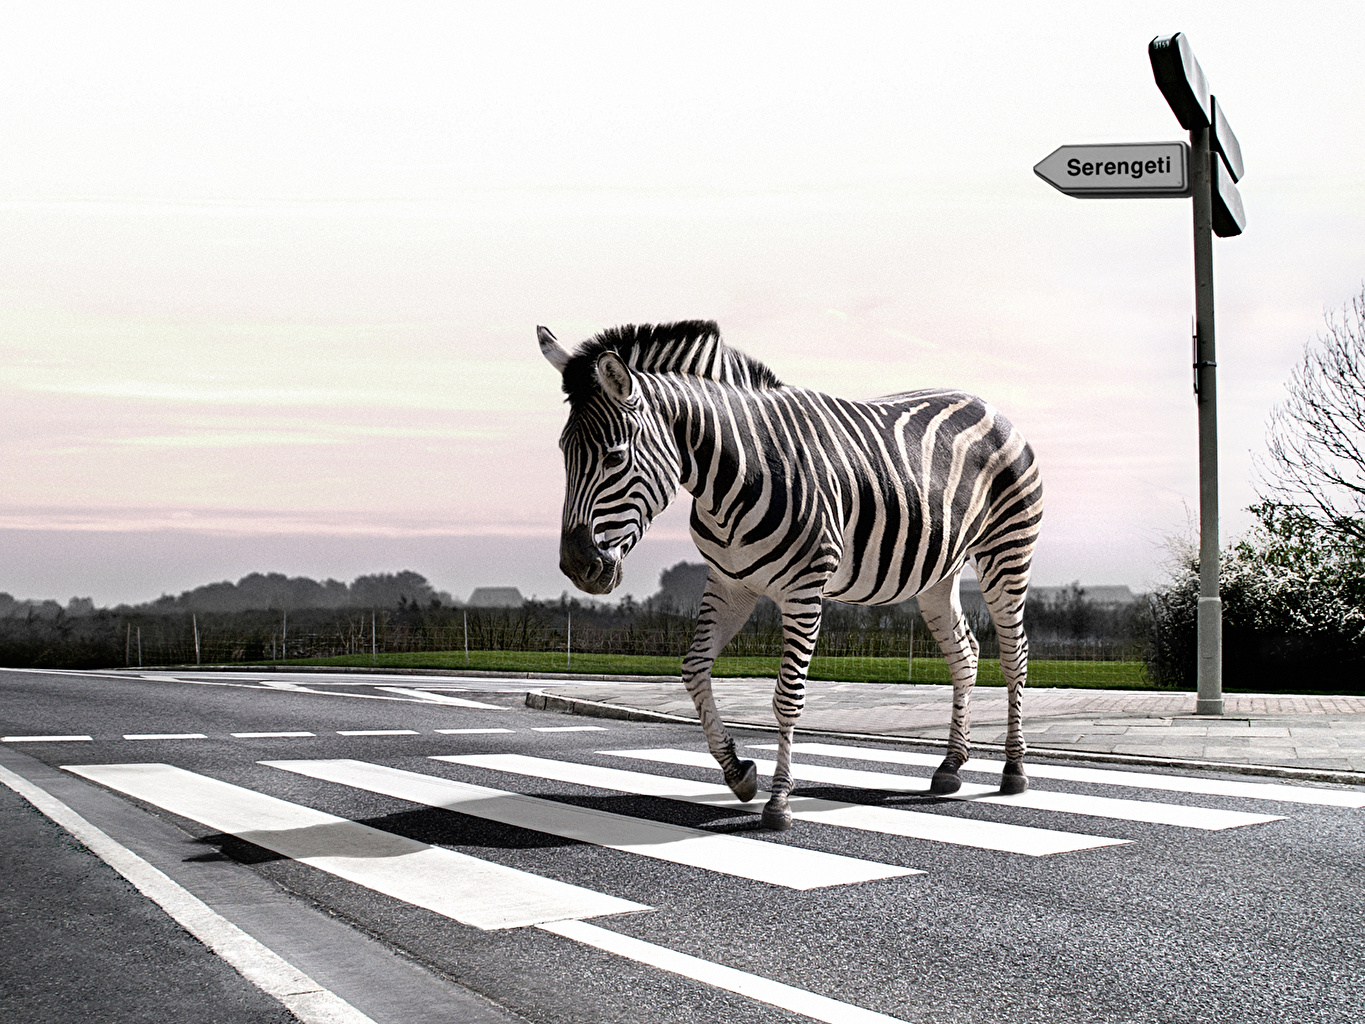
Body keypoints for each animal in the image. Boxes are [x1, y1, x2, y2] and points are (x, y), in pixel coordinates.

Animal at [538, 320, 1042, 830]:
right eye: (563, 452)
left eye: (614, 457)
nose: (577, 566)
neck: (733, 475)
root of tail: (987, 405)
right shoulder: (729, 584)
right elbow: (694, 670)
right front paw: (739, 773)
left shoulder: (804, 588)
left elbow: (787, 696)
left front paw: (779, 801)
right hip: (938, 574)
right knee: (966, 654)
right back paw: (950, 765)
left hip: (1007, 553)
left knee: (1014, 655)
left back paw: (1013, 769)